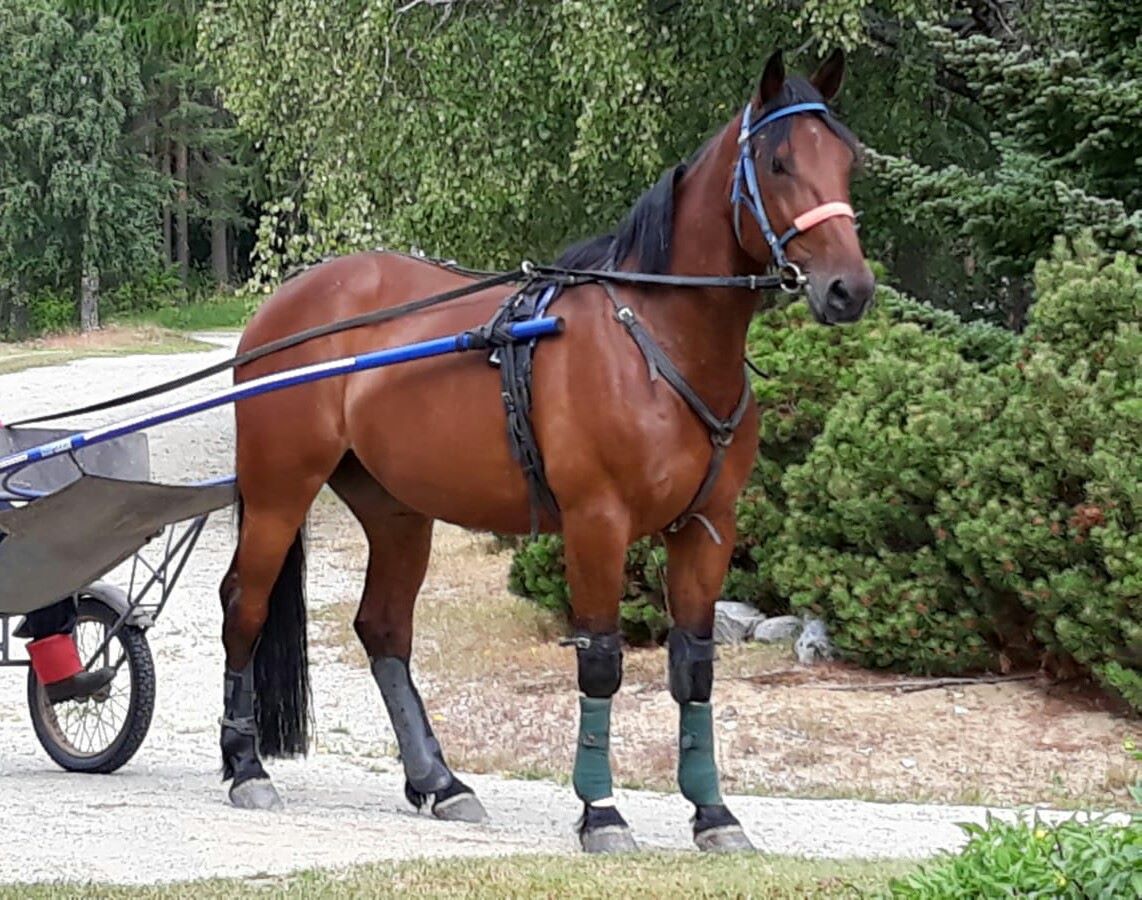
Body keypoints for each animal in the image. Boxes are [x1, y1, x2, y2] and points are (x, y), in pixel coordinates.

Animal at [217, 48, 874, 853]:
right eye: (779, 162)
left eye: (847, 159)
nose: (849, 289)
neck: (657, 337)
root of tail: (281, 310)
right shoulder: (598, 523)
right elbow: (600, 662)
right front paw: (602, 811)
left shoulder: (707, 528)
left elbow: (694, 667)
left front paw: (714, 813)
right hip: (280, 491)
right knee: (243, 605)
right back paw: (247, 766)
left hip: (396, 510)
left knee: (383, 629)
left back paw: (440, 781)